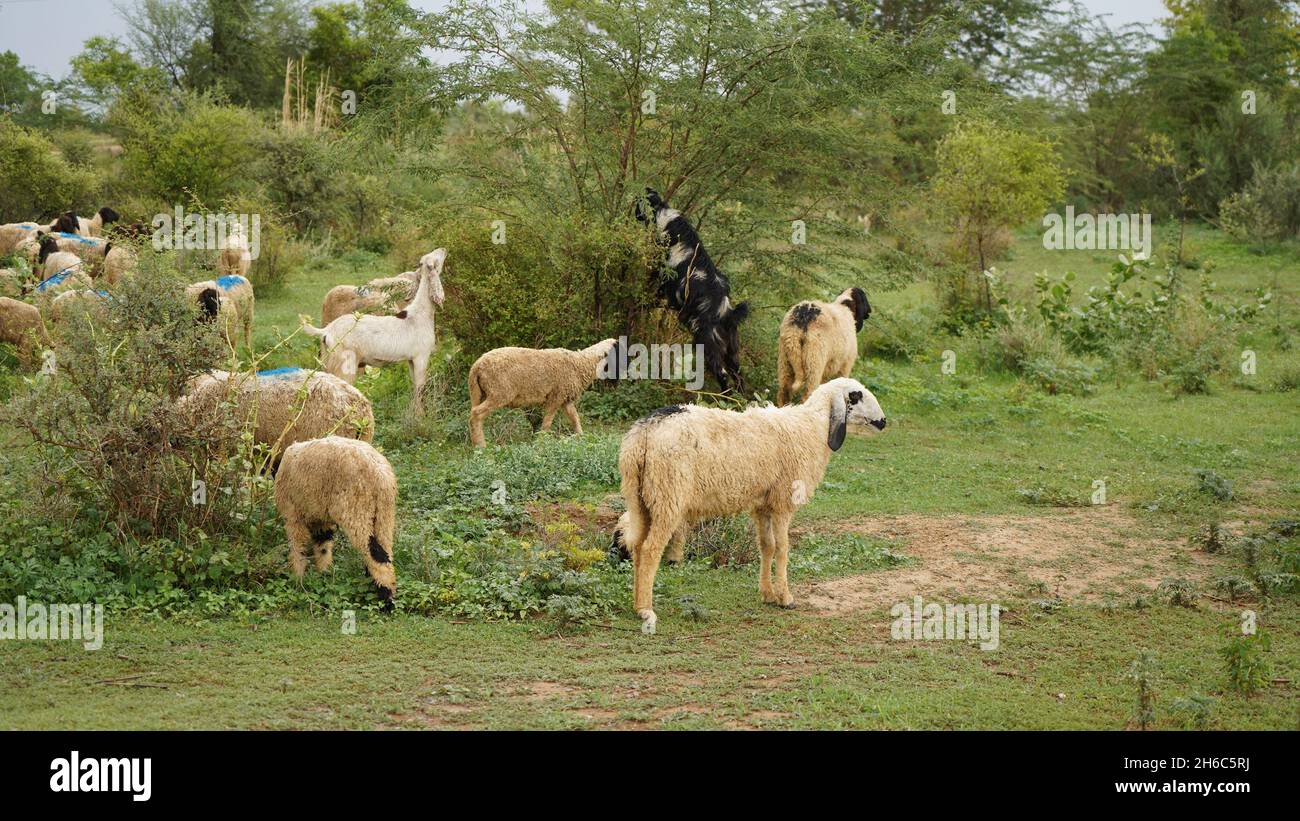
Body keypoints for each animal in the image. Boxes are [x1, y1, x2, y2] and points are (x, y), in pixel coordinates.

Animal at [274, 436, 398, 612]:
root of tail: (381, 476)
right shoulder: (321, 519)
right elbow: (323, 547)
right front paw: (323, 575)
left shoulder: (293, 515)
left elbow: (298, 548)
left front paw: (298, 580)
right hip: (384, 516)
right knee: (385, 551)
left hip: (356, 511)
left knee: (375, 554)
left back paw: (386, 602)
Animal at [301, 248, 447, 413]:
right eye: (435, 259)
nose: (443, 249)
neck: (419, 312)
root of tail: (327, 331)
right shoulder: (421, 357)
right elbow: (420, 389)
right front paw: (421, 415)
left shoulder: (411, 359)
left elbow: (415, 387)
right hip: (345, 364)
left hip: (328, 359)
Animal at [468, 338, 619, 447]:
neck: (581, 364)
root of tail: (477, 366)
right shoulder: (556, 397)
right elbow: (547, 423)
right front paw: (541, 444)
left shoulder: (566, 400)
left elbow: (575, 419)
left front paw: (582, 439)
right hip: (499, 392)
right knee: (476, 414)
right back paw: (481, 447)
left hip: (479, 393)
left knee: (473, 415)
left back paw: (476, 444)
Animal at [618, 377, 887, 633]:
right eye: (856, 396)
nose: (883, 421)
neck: (812, 428)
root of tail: (644, 431)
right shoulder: (782, 502)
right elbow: (783, 548)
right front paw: (785, 598)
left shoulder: (763, 505)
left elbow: (767, 547)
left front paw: (768, 594)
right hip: (668, 496)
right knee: (650, 549)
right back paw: (647, 610)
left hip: (640, 499)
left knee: (637, 546)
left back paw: (636, 604)